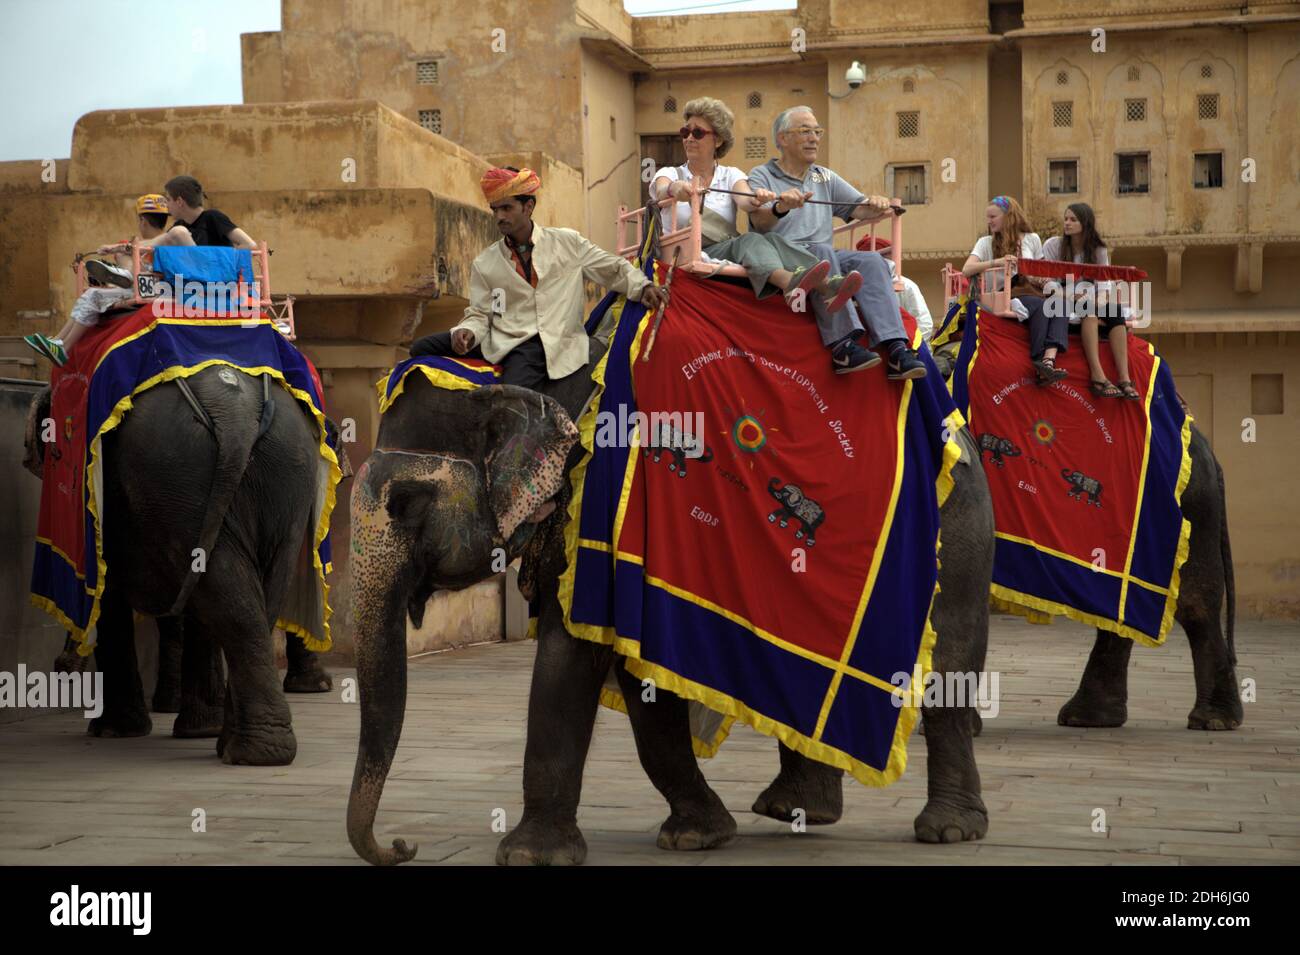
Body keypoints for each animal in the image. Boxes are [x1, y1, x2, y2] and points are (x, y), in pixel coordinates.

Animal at [24, 366, 335, 764]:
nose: (61, 665)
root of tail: (235, 412)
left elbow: (114, 596)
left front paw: (114, 731)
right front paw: (194, 729)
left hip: (175, 470)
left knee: (224, 595)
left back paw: (250, 751)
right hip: (281, 474)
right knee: (246, 596)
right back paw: (247, 746)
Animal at [346, 349, 996, 866]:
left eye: (405, 503)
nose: (402, 847)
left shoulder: (594, 506)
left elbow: (569, 660)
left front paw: (530, 856)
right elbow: (642, 686)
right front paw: (699, 836)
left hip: (960, 534)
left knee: (947, 668)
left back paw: (949, 830)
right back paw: (796, 811)